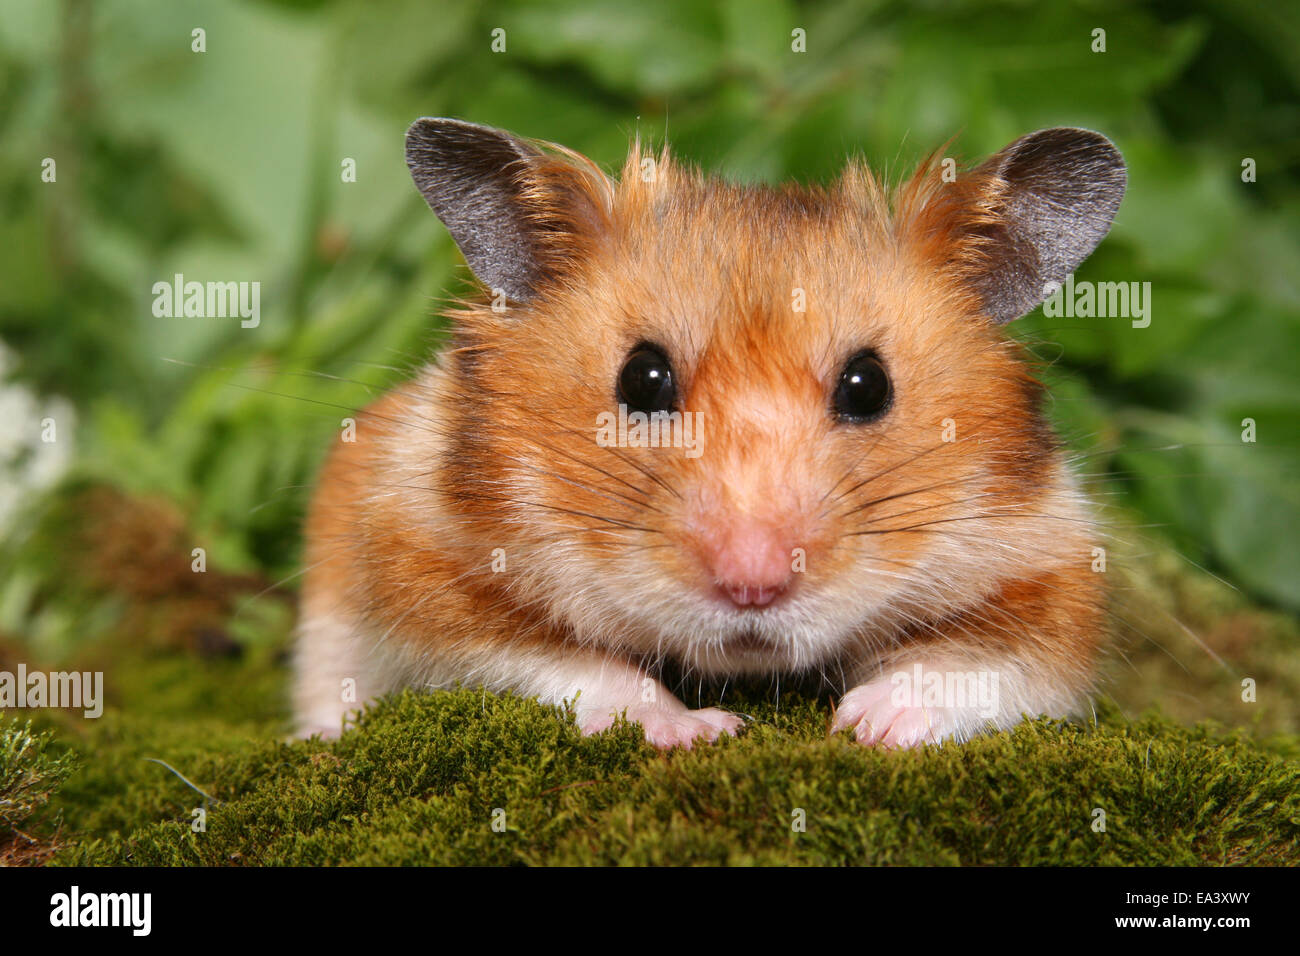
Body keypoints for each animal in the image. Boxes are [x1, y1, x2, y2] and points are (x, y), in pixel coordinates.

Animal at [292, 118, 1126, 749]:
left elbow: (980, 663)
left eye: (869, 385)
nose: (752, 584)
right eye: (642, 379)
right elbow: (577, 667)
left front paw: (867, 724)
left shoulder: (1056, 575)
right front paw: (701, 728)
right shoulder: (424, 570)